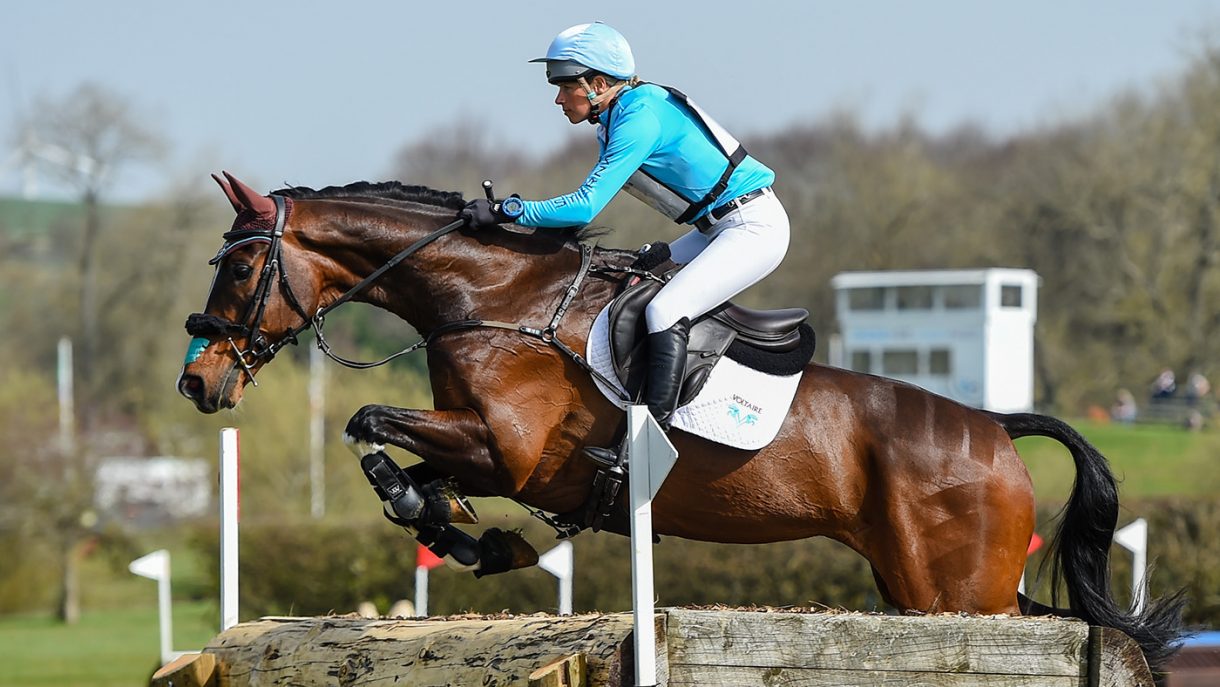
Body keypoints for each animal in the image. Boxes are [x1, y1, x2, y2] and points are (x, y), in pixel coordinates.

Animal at [177, 172, 1184, 670]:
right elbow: (405, 463)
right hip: (928, 588)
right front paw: (466, 534)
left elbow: (366, 421)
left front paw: (456, 529)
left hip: (958, 588)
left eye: (240, 268)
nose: (197, 381)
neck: (492, 301)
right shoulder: (486, 449)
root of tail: (992, 426)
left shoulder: (508, 449)